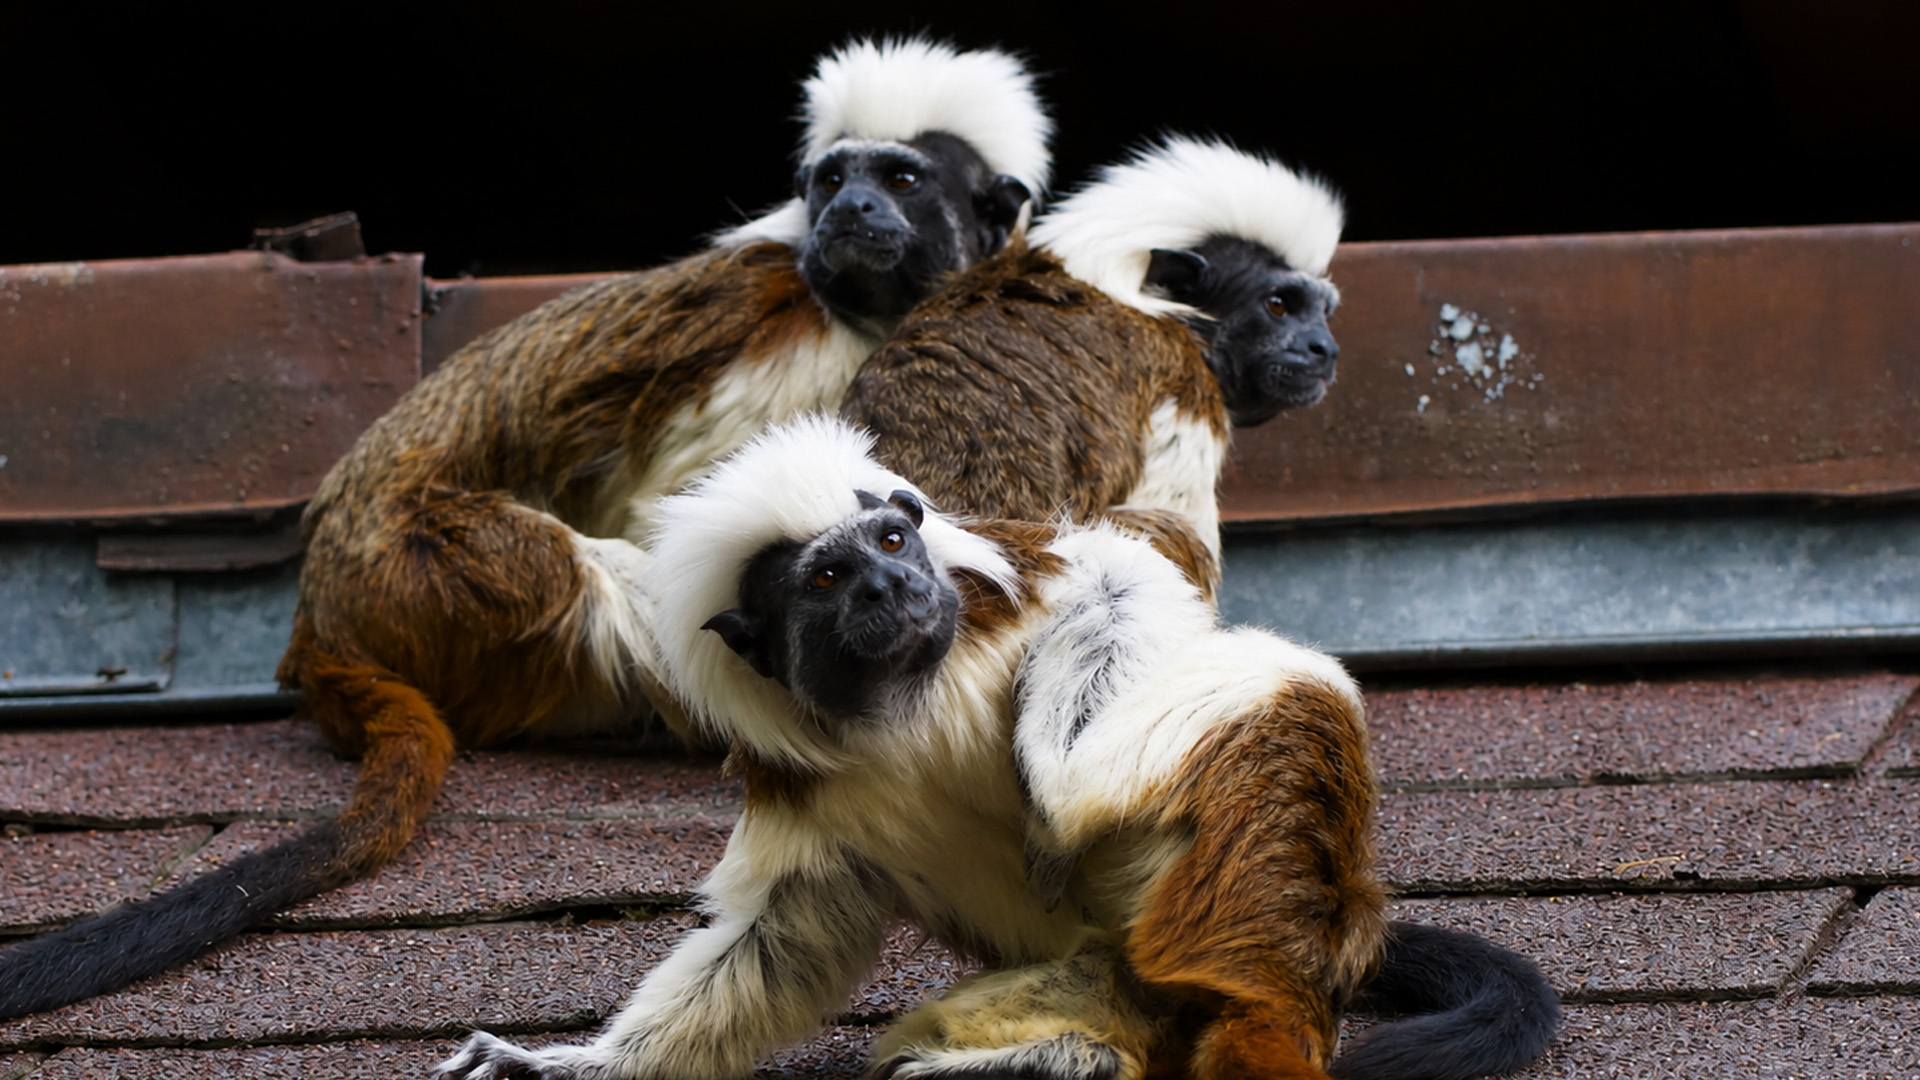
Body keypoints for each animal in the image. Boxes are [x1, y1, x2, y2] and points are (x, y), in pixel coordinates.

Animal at [0, 38, 1050, 1022]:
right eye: (835, 181)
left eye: (900, 182)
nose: (852, 212)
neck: (861, 310)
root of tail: (319, 618)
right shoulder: (789, 332)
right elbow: (693, 510)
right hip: (430, 576)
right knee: (584, 573)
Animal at [439, 417, 1557, 1080]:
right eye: (828, 581)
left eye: (891, 545)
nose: (894, 588)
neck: (907, 695)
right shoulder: (807, 796)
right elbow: (785, 937)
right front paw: (577, 1065)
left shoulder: (1021, 582)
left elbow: (1125, 569)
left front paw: (1054, 782)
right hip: (1113, 974)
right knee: (1071, 1053)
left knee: (1281, 701)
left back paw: (1257, 1002)